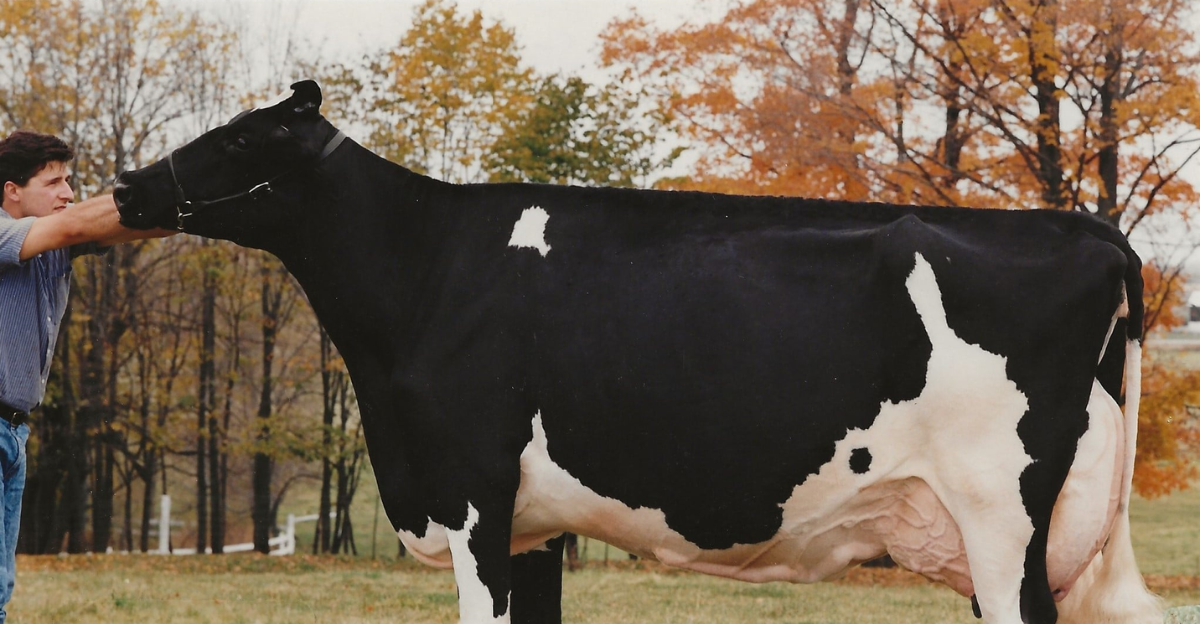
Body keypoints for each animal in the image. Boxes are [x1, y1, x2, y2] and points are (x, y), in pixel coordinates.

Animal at [113, 81, 1164, 624]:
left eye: (239, 138)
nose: (125, 185)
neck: (425, 272)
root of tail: (1084, 226)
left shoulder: (472, 500)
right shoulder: (530, 527)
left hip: (1001, 520)